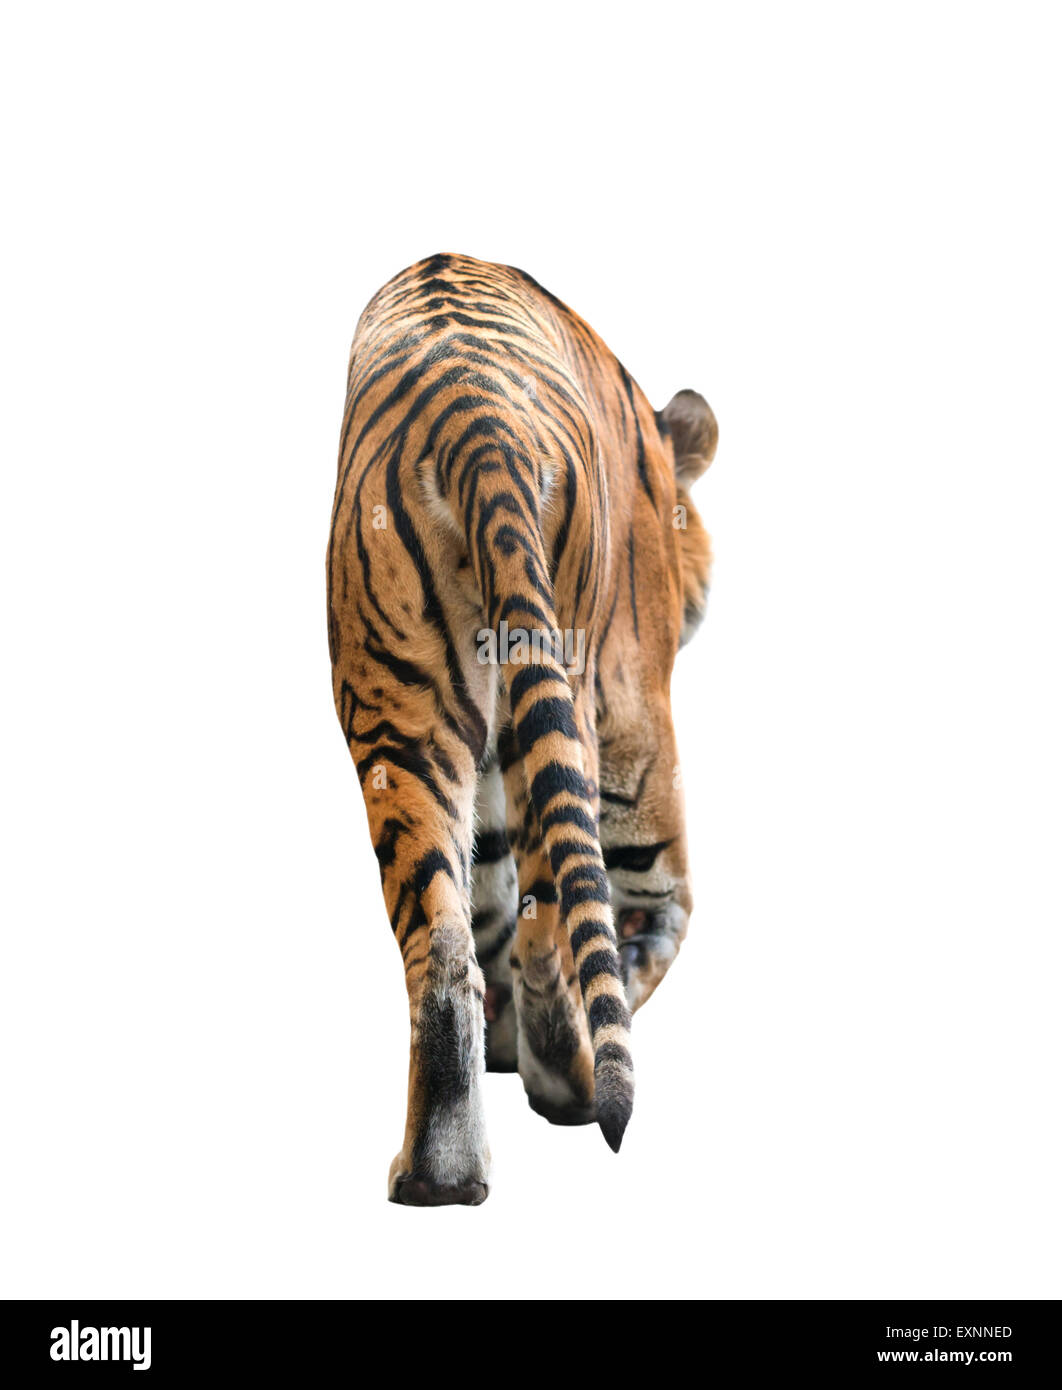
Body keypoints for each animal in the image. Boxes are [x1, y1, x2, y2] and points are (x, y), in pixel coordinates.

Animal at [327, 253, 717, 1205]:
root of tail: (473, 415)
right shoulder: (639, 739)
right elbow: (652, 919)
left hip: (397, 718)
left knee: (442, 944)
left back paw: (438, 1174)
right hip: (568, 707)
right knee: (554, 919)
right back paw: (569, 1084)